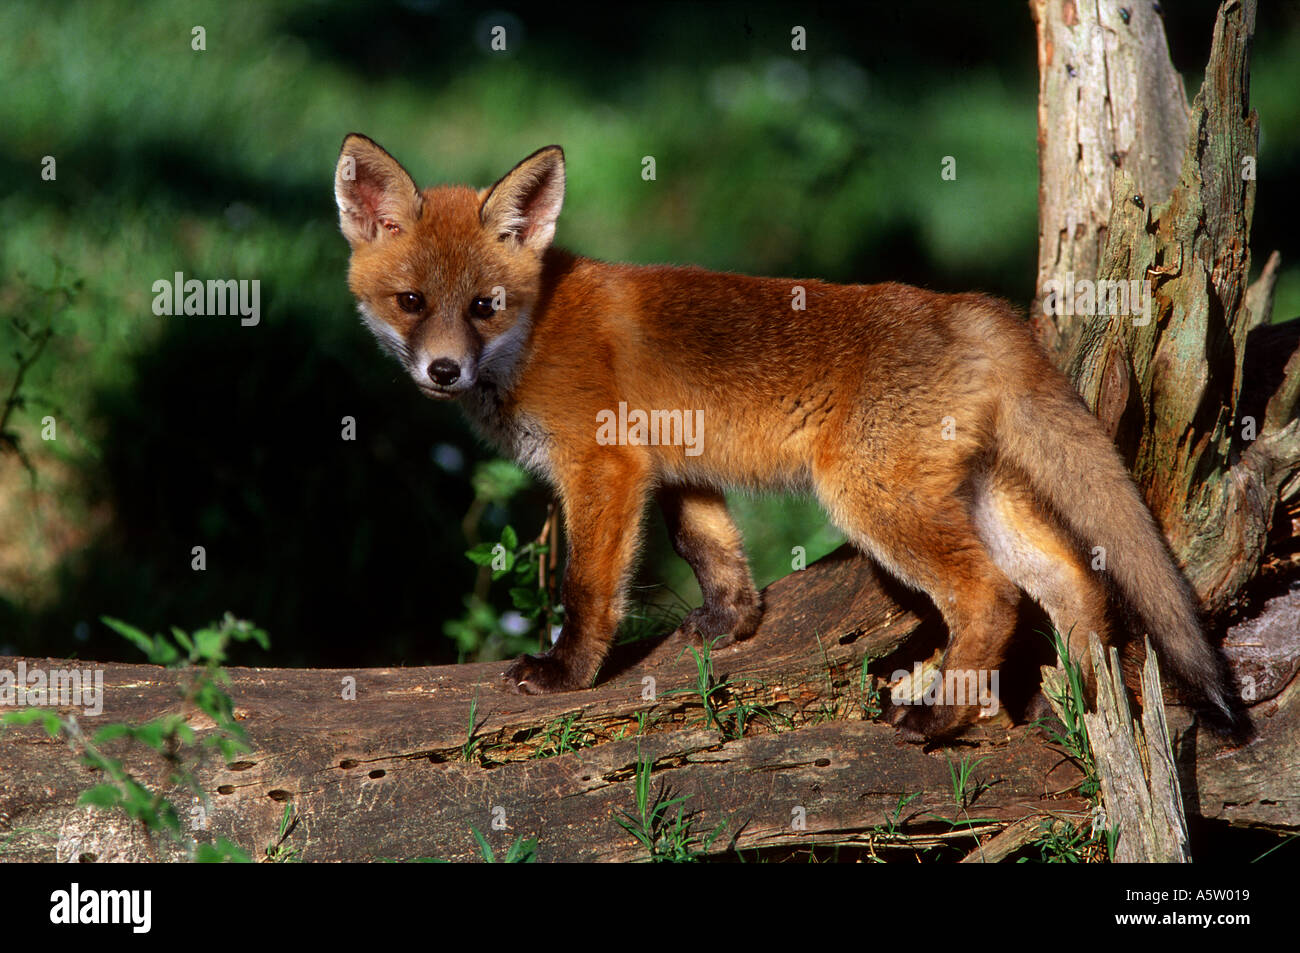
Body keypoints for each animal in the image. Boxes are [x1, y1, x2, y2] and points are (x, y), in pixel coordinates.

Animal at [333, 134, 1234, 741]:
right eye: (412, 302)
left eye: (484, 306)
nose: (443, 369)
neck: (534, 330)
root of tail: (974, 308)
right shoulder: (673, 464)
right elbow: (710, 548)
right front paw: (731, 625)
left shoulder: (603, 465)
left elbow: (588, 589)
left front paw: (566, 673)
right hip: (976, 495)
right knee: (1071, 581)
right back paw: (1079, 706)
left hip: (872, 500)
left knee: (991, 595)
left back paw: (944, 716)